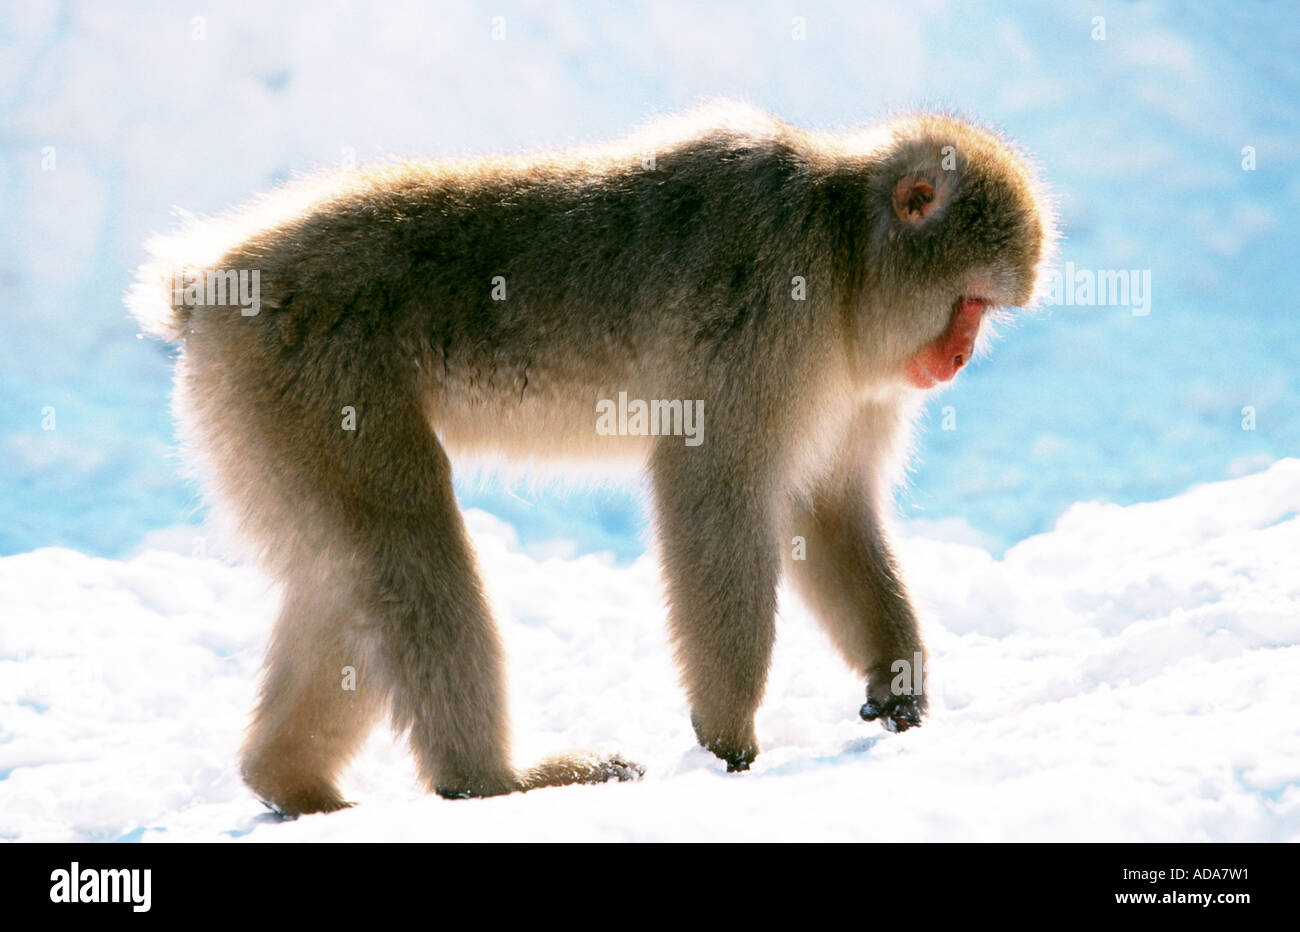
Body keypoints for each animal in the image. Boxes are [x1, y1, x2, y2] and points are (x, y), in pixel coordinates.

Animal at [128, 101, 1052, 816]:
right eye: (972, 303)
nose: (960, 358)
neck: (839, 256)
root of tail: (207, 286)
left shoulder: (863, 386)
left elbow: (827, 508)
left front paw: (898, 676)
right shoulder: (764, 304)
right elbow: (713, 492)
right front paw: (727, 741)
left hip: (258, 412)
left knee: (342, 573)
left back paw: (291, 784)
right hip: (306, 375)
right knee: (403, 542)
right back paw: (492, 783)